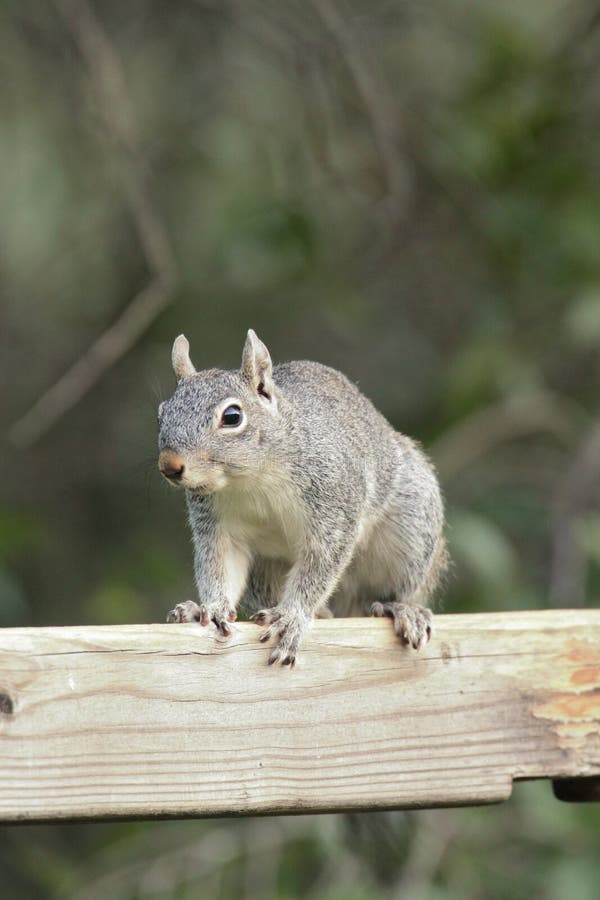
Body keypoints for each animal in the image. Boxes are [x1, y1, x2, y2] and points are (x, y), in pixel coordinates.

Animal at [158, 330, 447, 666]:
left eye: (232, 416)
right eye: (161, 414)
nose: (169, 465)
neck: (253, 477)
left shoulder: (336, 505)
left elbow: (320, 564)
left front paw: (292, 618)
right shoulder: (217, 525)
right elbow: (220, 565)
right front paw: (215, 608)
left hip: (410, 526)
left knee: (393, 589)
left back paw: (399, 608)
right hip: (266, 569)